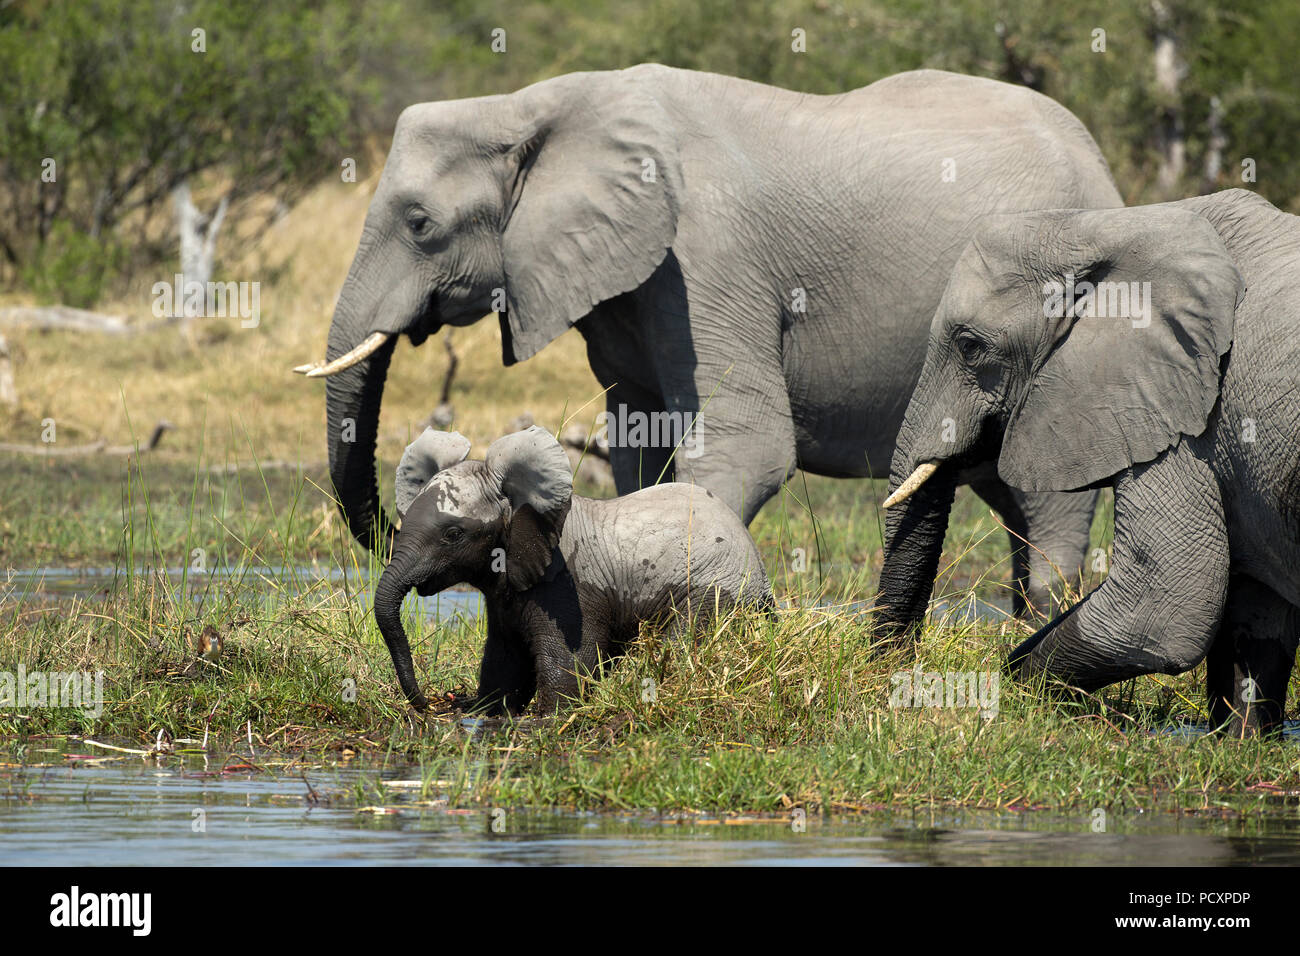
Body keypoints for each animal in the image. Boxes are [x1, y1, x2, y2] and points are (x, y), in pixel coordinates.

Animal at [295, 63, 1125, 615]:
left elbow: (743, 446)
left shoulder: (706, 259)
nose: (393, 533)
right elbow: (638, 443)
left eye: (420, 224)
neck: (536, 103)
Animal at [373, 425, 772, 714]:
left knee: (682, 641)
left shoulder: (570, 592)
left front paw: (545, 719)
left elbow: (569, 664)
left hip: (715, 588)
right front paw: (481, 711)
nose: (431, 703)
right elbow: (505, 661)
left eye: (453, 534)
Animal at [875, 188, 1300, 736]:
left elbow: (1163, 609)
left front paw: (1013, 690)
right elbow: (1254, 617)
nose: (894, 673)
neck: (1110, 228)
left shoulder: (1185, 423)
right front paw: (1237, 745)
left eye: (970, 347)